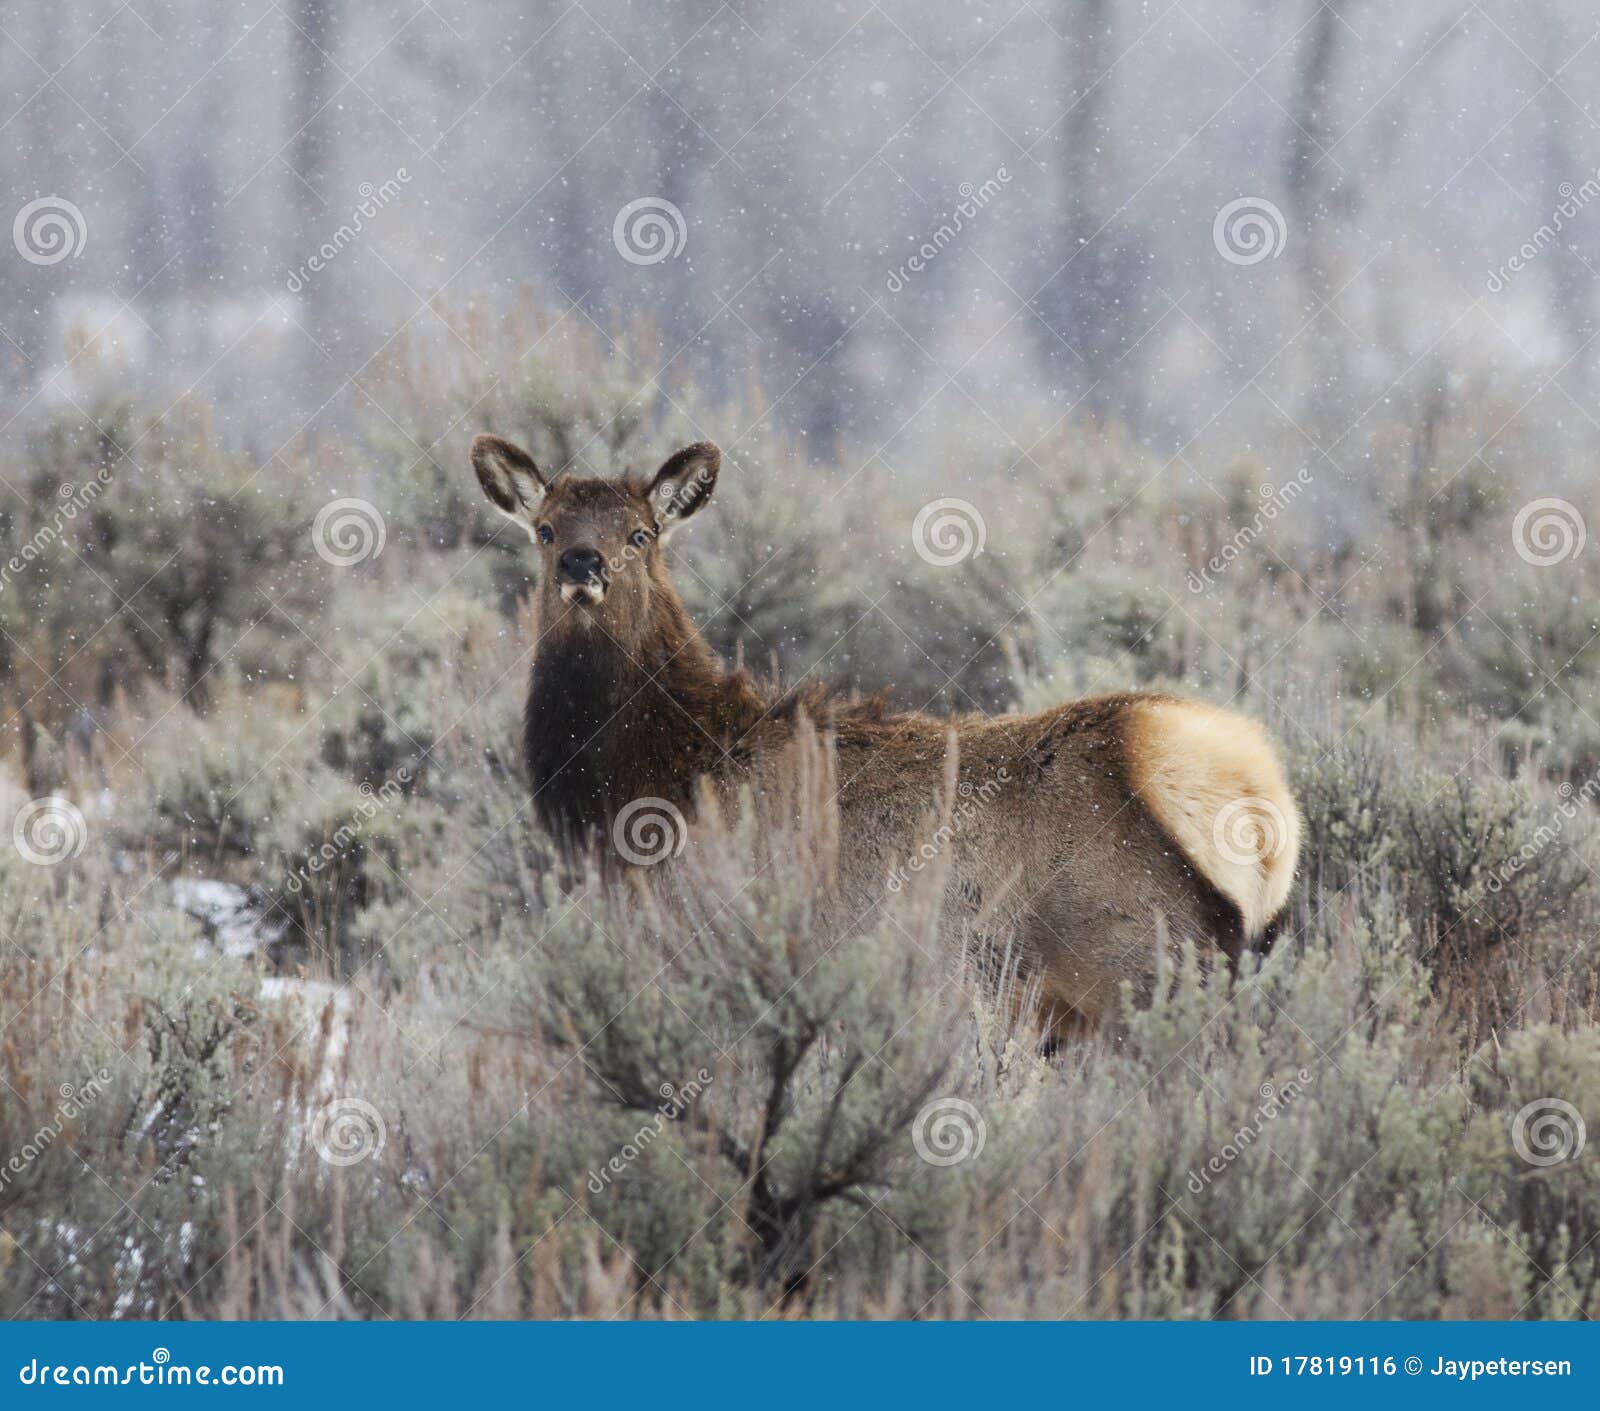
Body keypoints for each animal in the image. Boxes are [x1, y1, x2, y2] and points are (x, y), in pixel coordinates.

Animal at [471, 432, 1301, 1032]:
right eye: (544, 528)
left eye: (641, 533)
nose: (584, 564)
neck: (652, 781)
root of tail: (1257, 796)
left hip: (1134, 966)